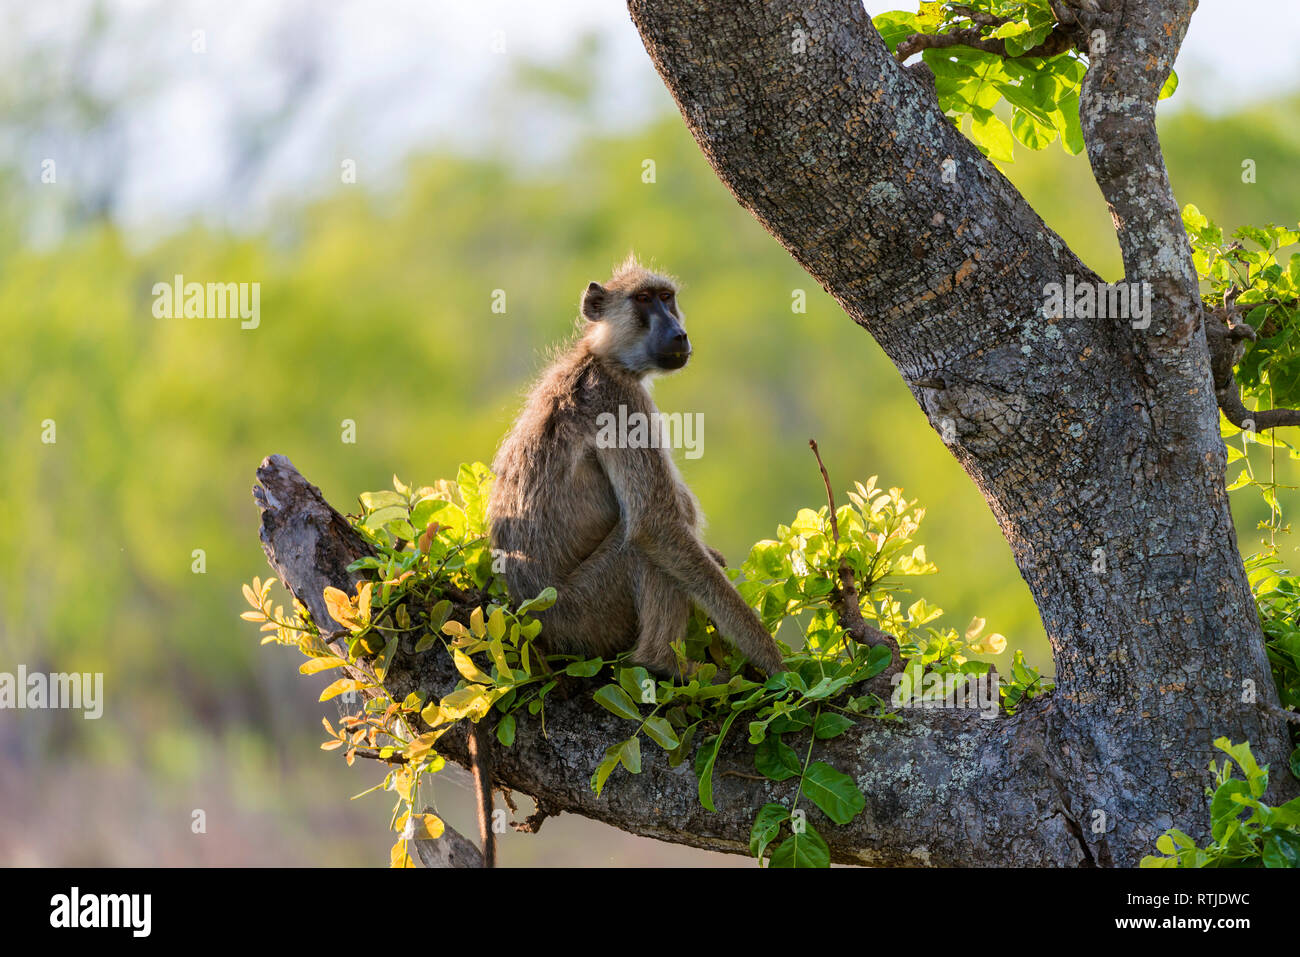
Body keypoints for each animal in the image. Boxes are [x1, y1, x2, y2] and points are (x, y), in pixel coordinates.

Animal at [486, 255, 786, 679]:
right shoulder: (622, 403)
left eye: (666, 297)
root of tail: (532, 621)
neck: (603, 358)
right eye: (643, 299)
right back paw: (664, 662)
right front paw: (776, 662)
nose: (678, 334)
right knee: (649, 537)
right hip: (588, 613)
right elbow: (655, 523)